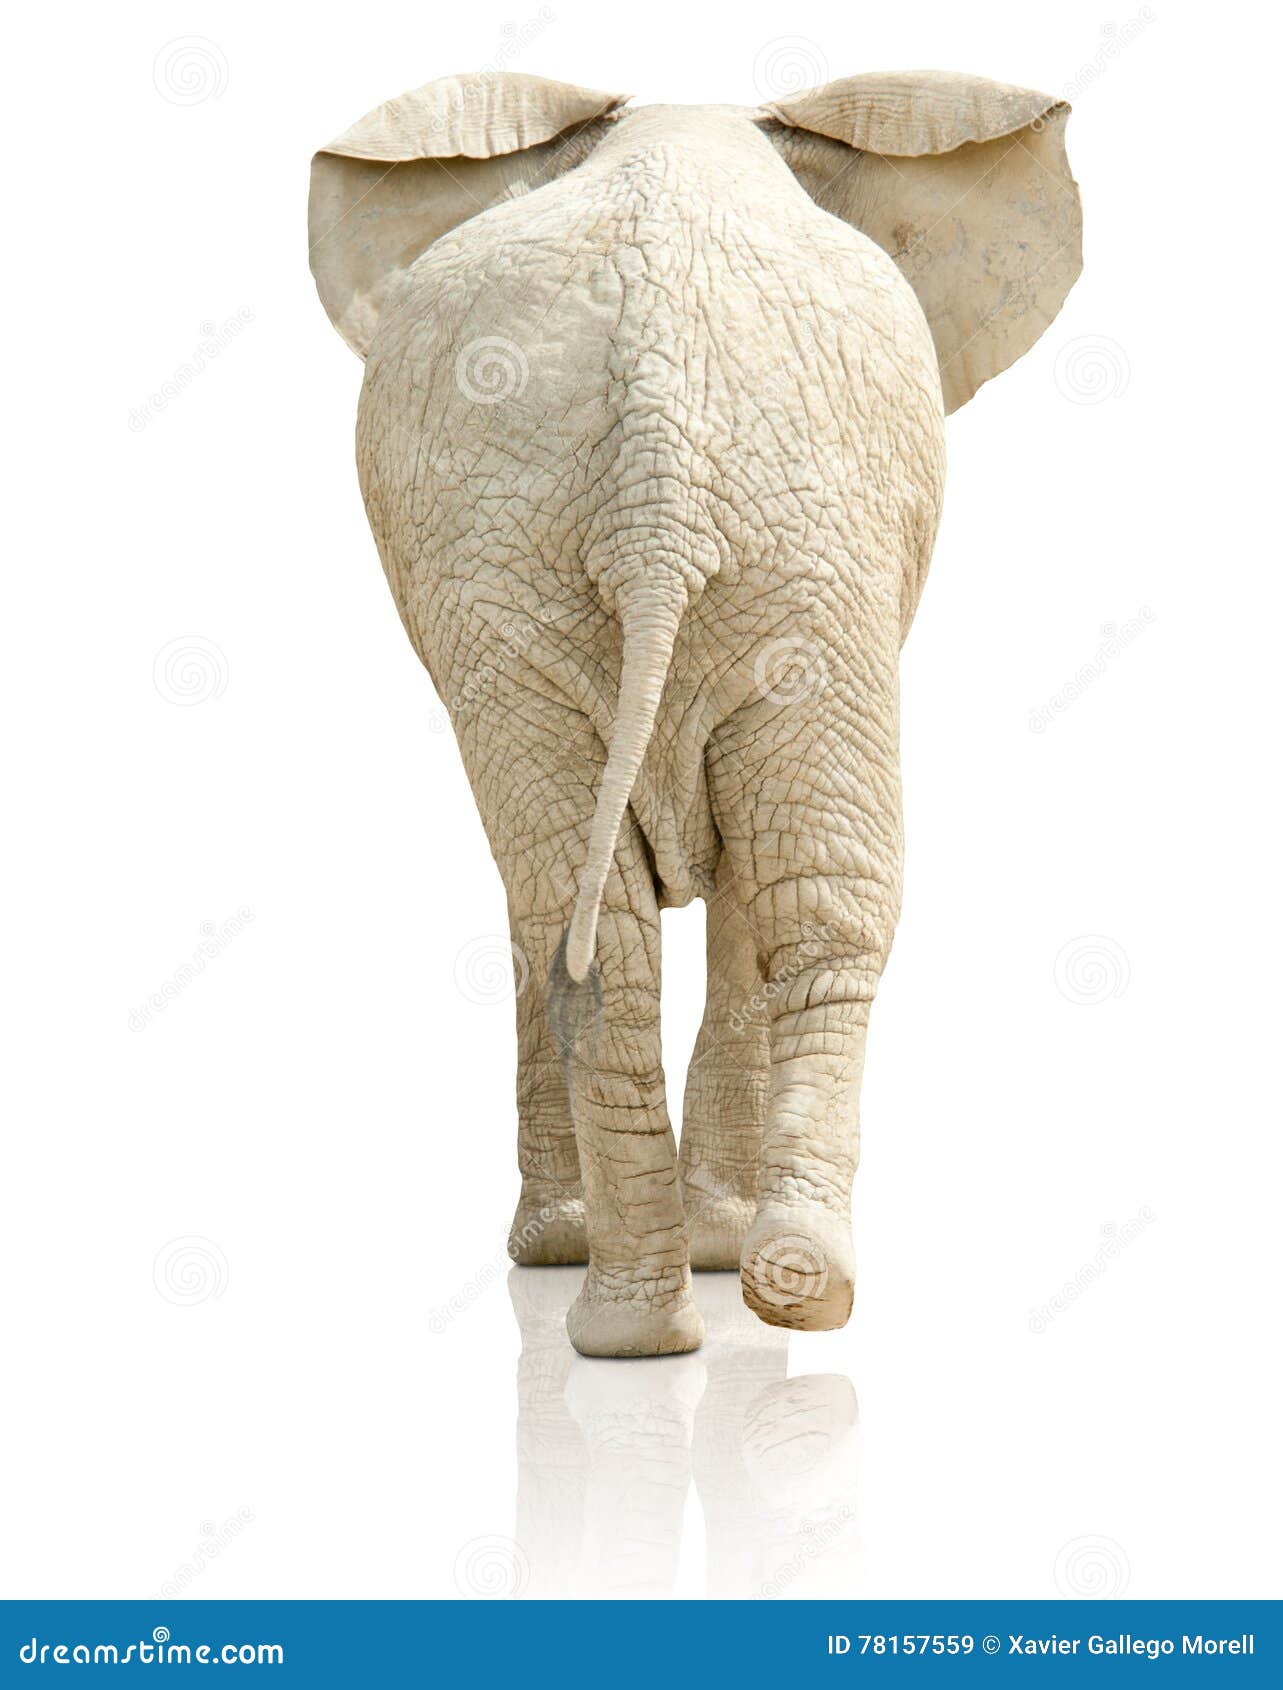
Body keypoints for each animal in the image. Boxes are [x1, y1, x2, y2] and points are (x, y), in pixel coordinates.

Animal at [308, 69, 1081, 1358]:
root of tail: (653, 471)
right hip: (709, 551)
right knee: (735, 906)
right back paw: (716, 1303)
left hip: (714, 549)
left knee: (639, 914)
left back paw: (690, 1312)